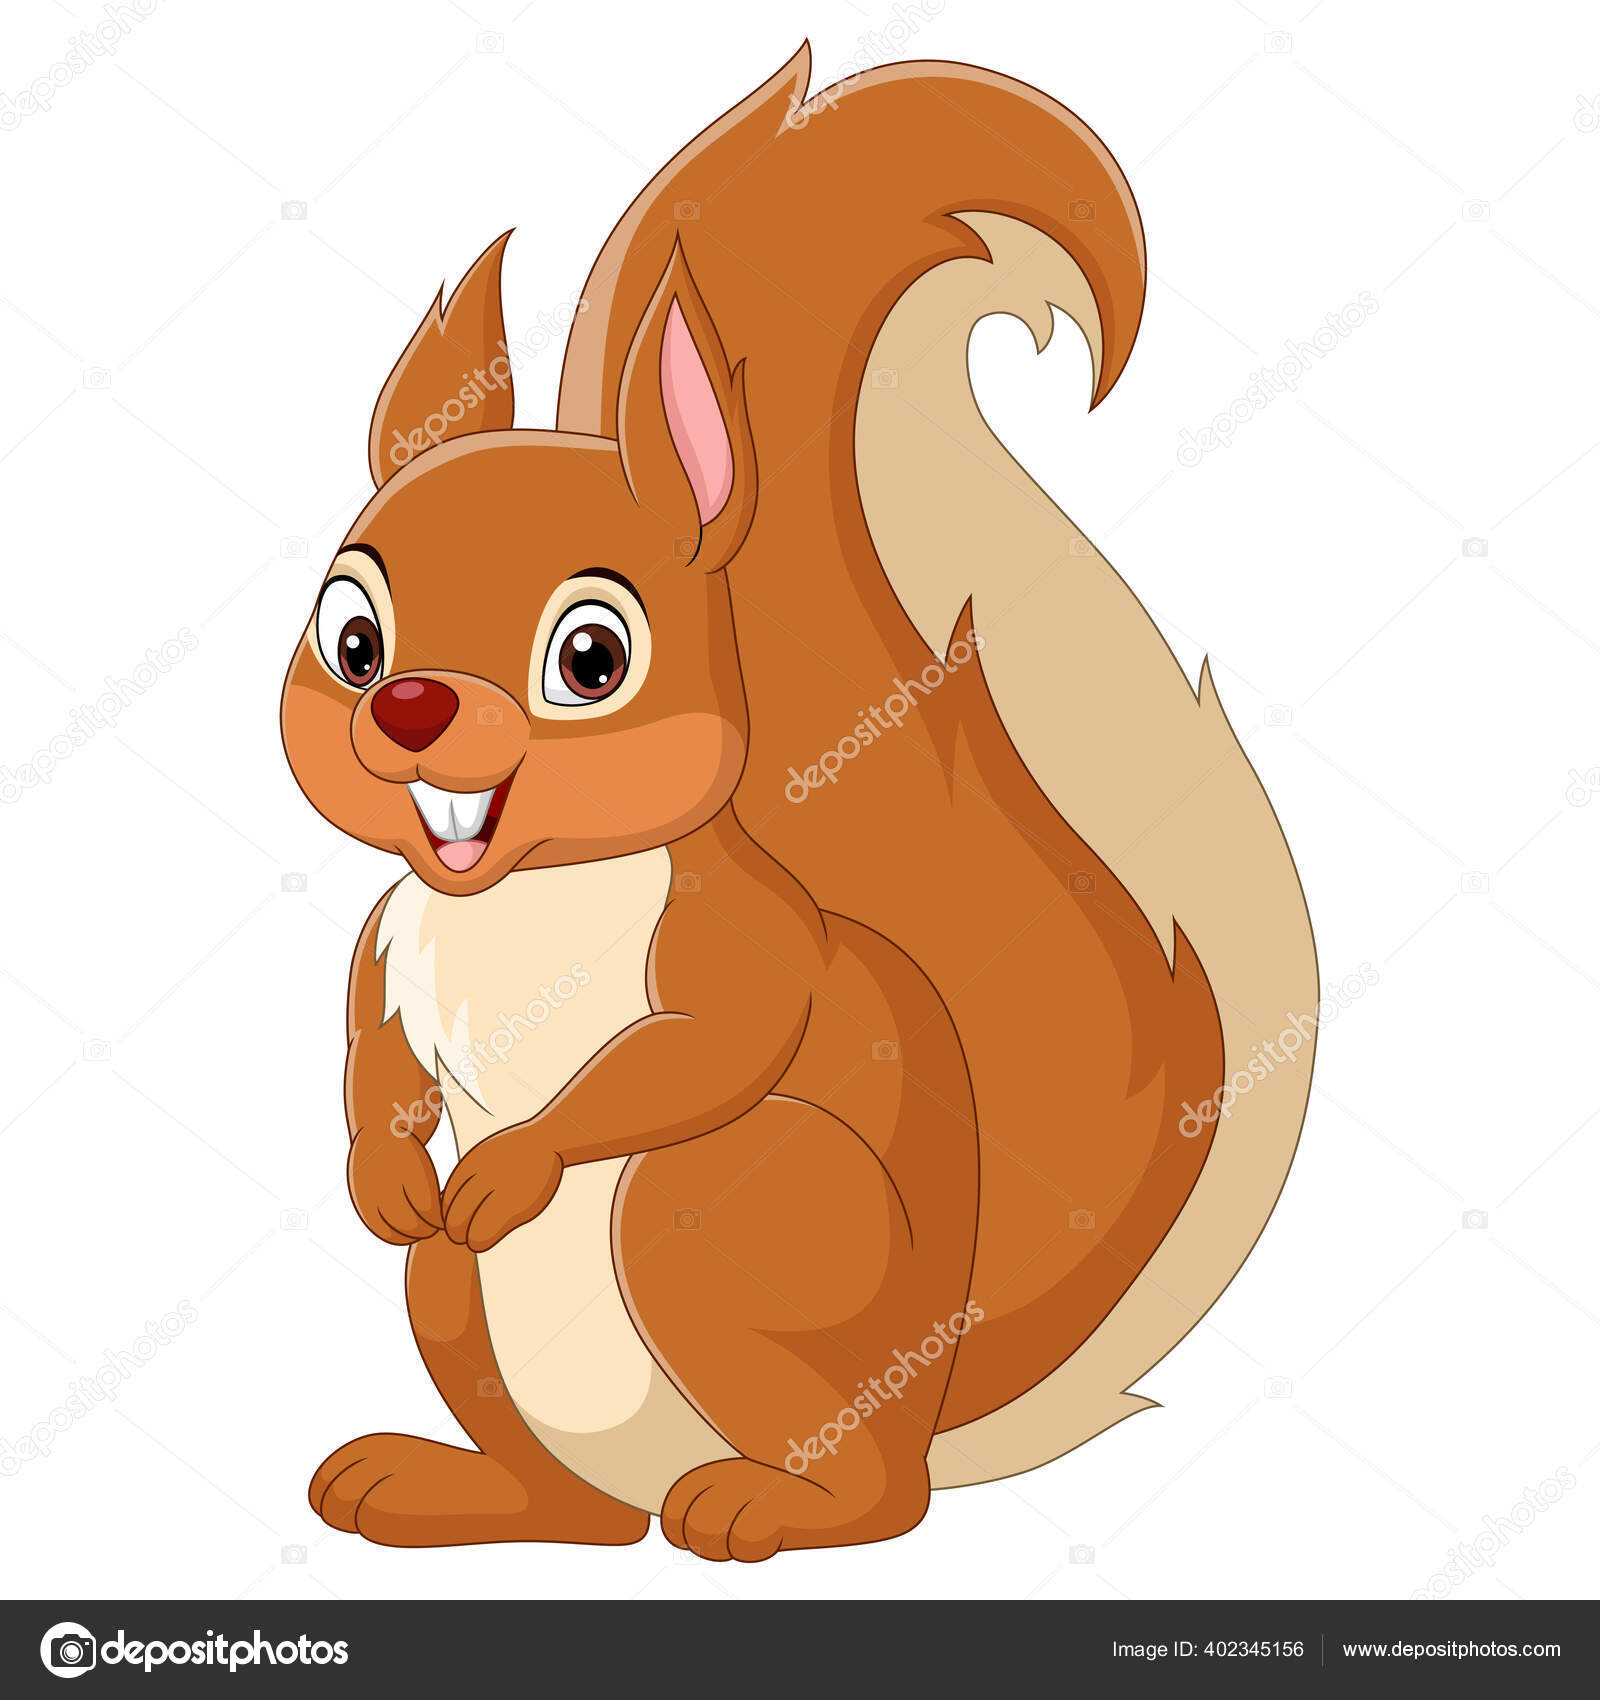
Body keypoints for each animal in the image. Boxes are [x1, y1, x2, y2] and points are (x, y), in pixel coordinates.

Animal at [280, 45, 1315, 1562]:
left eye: (593, 657)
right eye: (350, 636)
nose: (407, 708)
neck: (523, 894)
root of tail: (928, 1395)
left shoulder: (737, 935)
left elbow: (706, 1048)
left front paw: (515, 1162)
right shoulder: (385, 938)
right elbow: (370, 1056)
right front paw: (384, 1172)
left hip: (725, 1216)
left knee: (872, 1492)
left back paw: (765, 1506)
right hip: (452, 1298)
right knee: (576, 1507)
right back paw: (444, 1484)